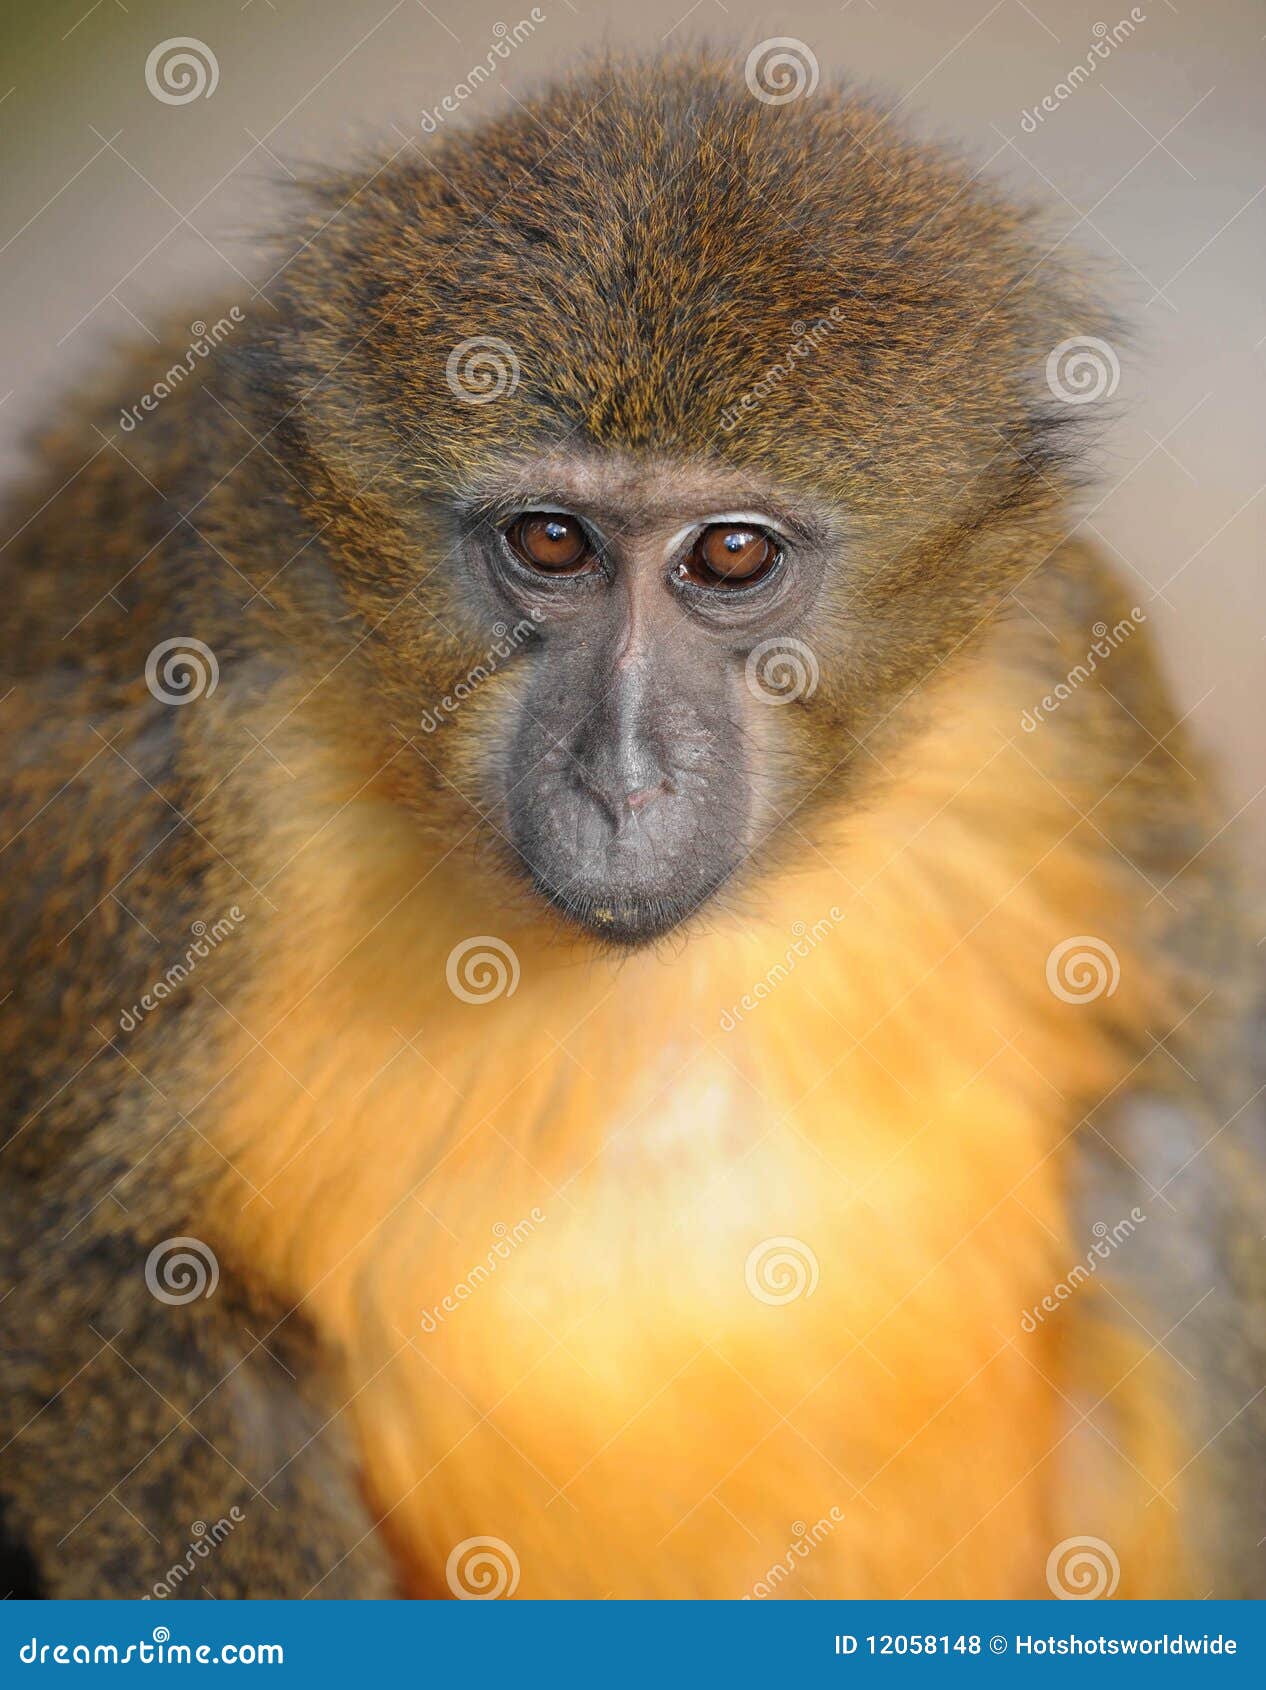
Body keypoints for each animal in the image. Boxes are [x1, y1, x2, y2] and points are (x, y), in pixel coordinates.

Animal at [0, 47, 1262, 1602]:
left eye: (728, 555)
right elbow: (89, 1272)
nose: (621, 772)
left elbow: (1199, 1090)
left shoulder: (1059, 671)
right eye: (553, 541)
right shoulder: (171, 778)